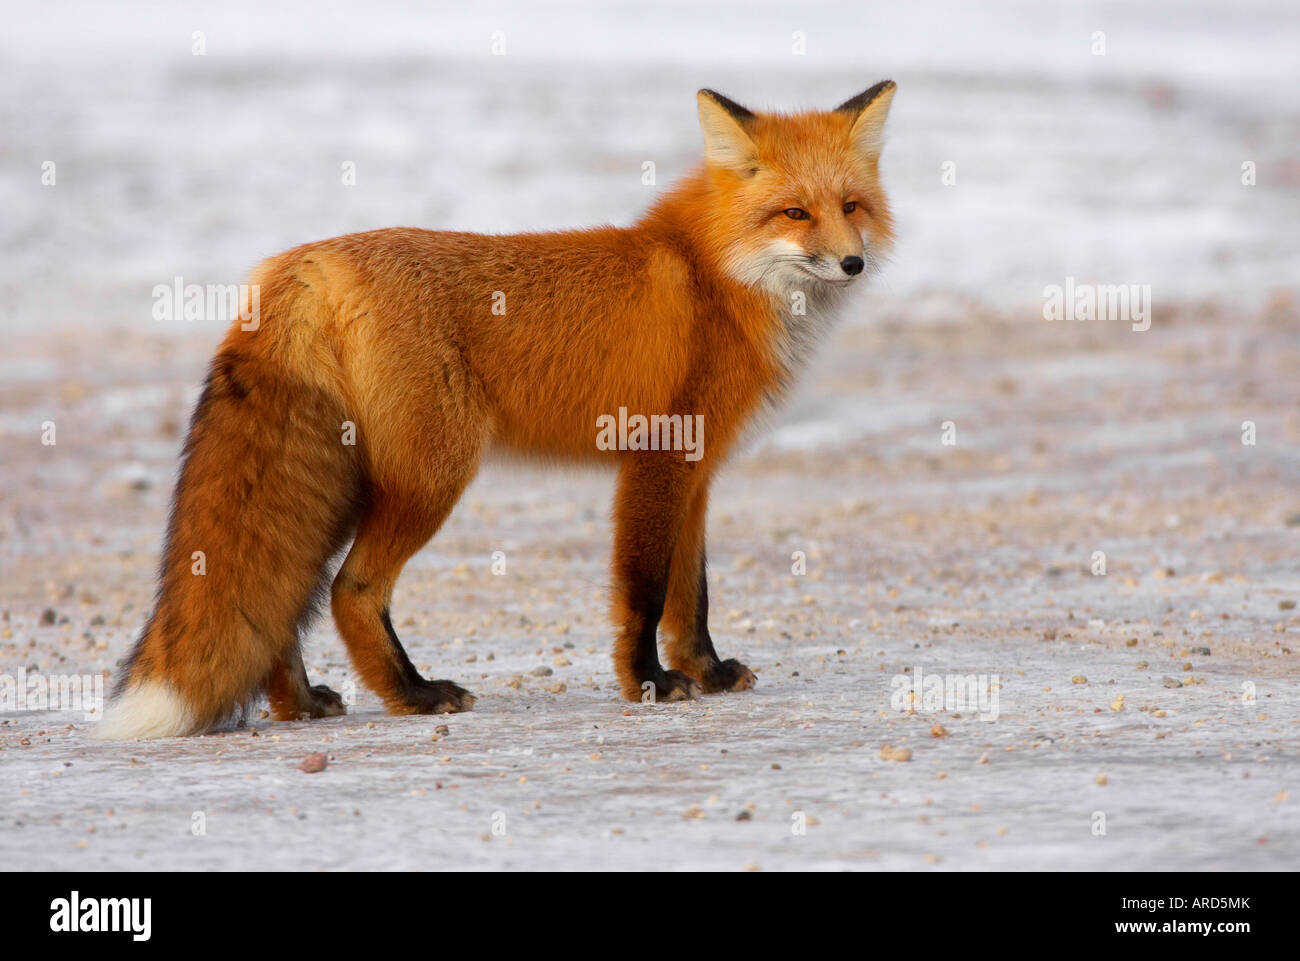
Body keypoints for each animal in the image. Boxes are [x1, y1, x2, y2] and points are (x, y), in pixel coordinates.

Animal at [96, 81, 897, 739]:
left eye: (851, 207)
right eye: (795, 213)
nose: (853, 262)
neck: (716, 279)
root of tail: (302, 264)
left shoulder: (696, 473)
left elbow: (689, 595)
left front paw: (707, 671)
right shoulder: (656, 459)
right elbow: (643, 588)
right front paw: (648, 682)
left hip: (341, 484)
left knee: (285, 602)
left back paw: (300, 704)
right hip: (429, 477)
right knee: (350, 590)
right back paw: (414, 695)